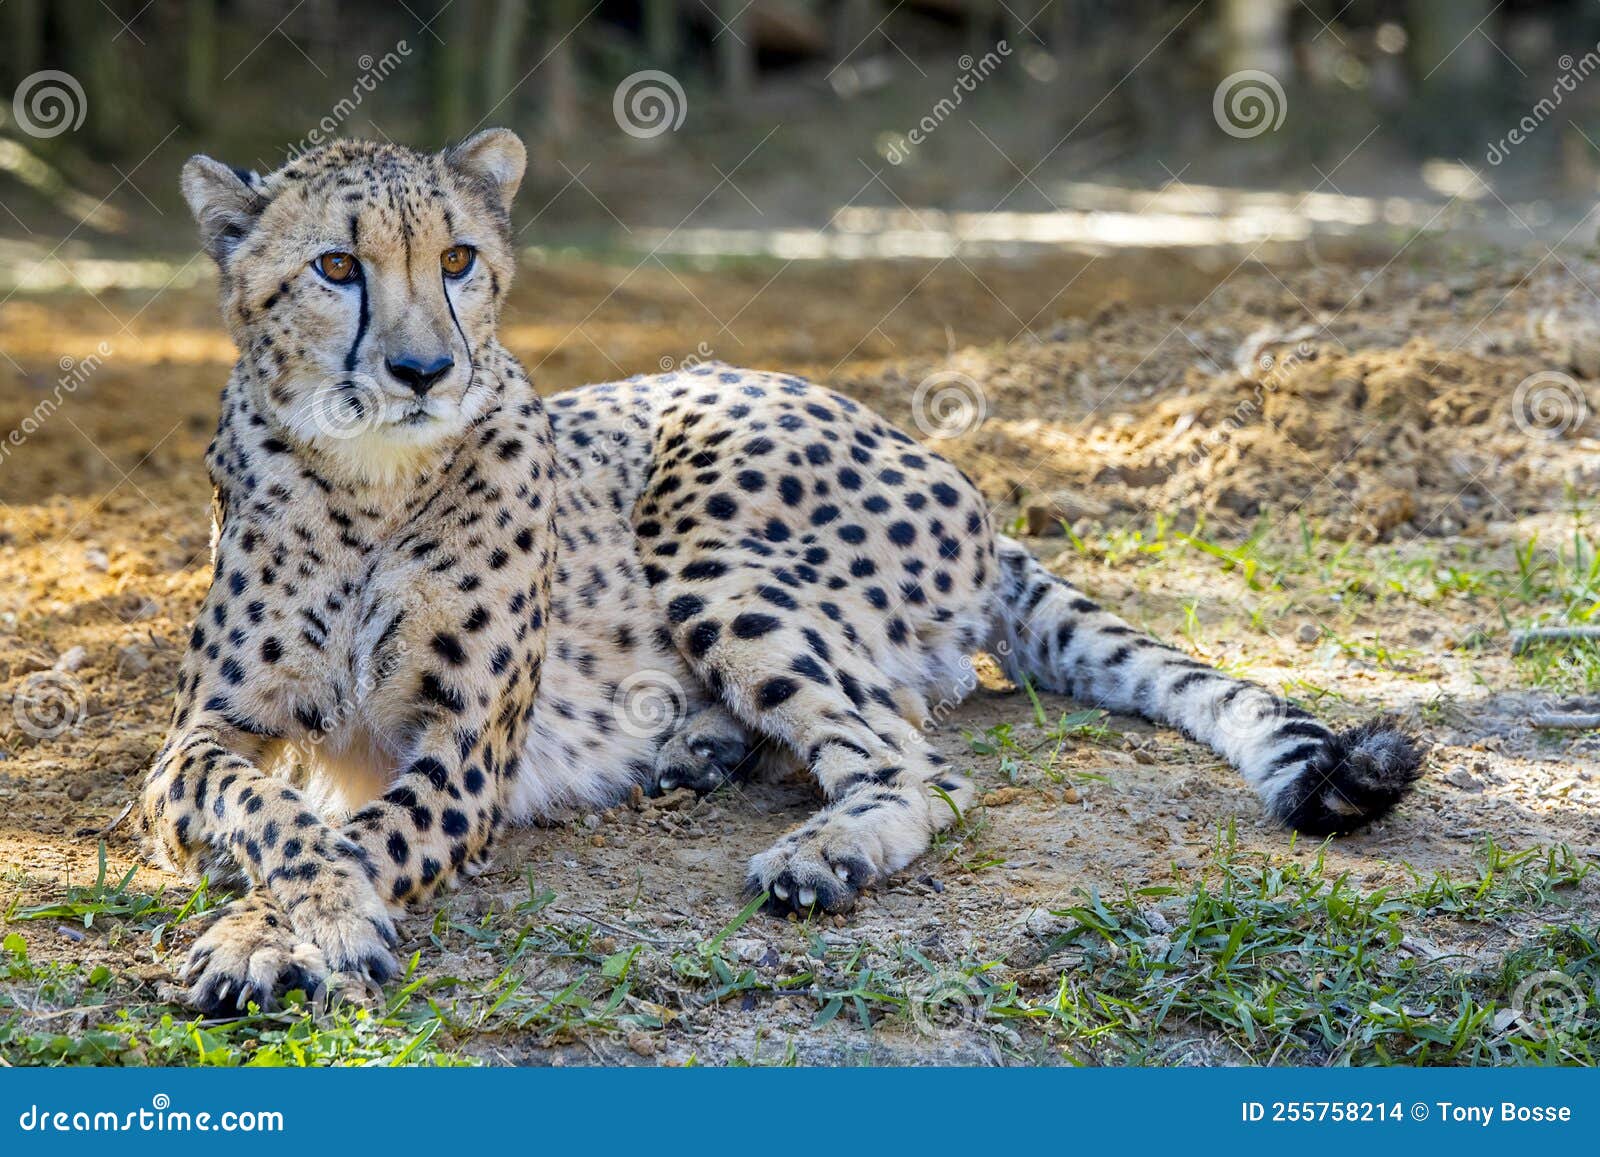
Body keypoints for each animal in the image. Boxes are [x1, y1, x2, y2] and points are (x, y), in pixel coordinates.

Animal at [144, 129, 1425, 1015]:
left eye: (457, 258)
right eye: (335, 266)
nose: (423, 370)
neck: (373, 479)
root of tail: (948, 467)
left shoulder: (461, 757)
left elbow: (364, 831)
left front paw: (269, 932)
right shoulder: (196, 740)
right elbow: (267, 802)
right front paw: (293, 917)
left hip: (703, 534)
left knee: (913, 753)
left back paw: (825, 849)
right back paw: (700, 745)